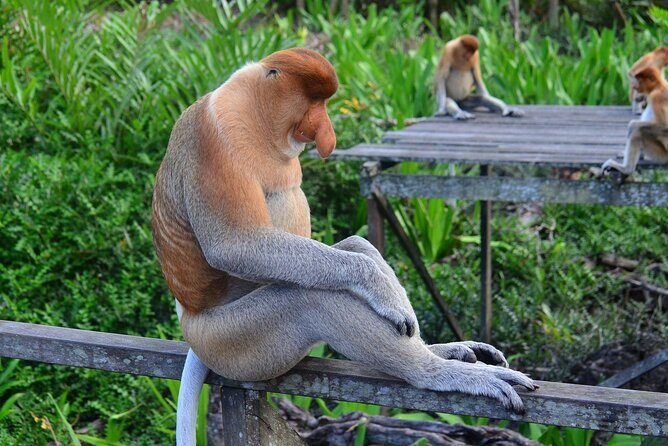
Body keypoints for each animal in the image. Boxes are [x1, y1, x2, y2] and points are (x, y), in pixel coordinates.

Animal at [151, 48, 535, 445]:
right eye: (313, 103)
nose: (326, 130)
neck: (252, 111)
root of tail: (190, 320)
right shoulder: (212, 137)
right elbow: (234, 245)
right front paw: (383, 288)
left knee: (350, 247)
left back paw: (443, 350)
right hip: (232, 342)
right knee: (309, 298)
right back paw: (436, 370)